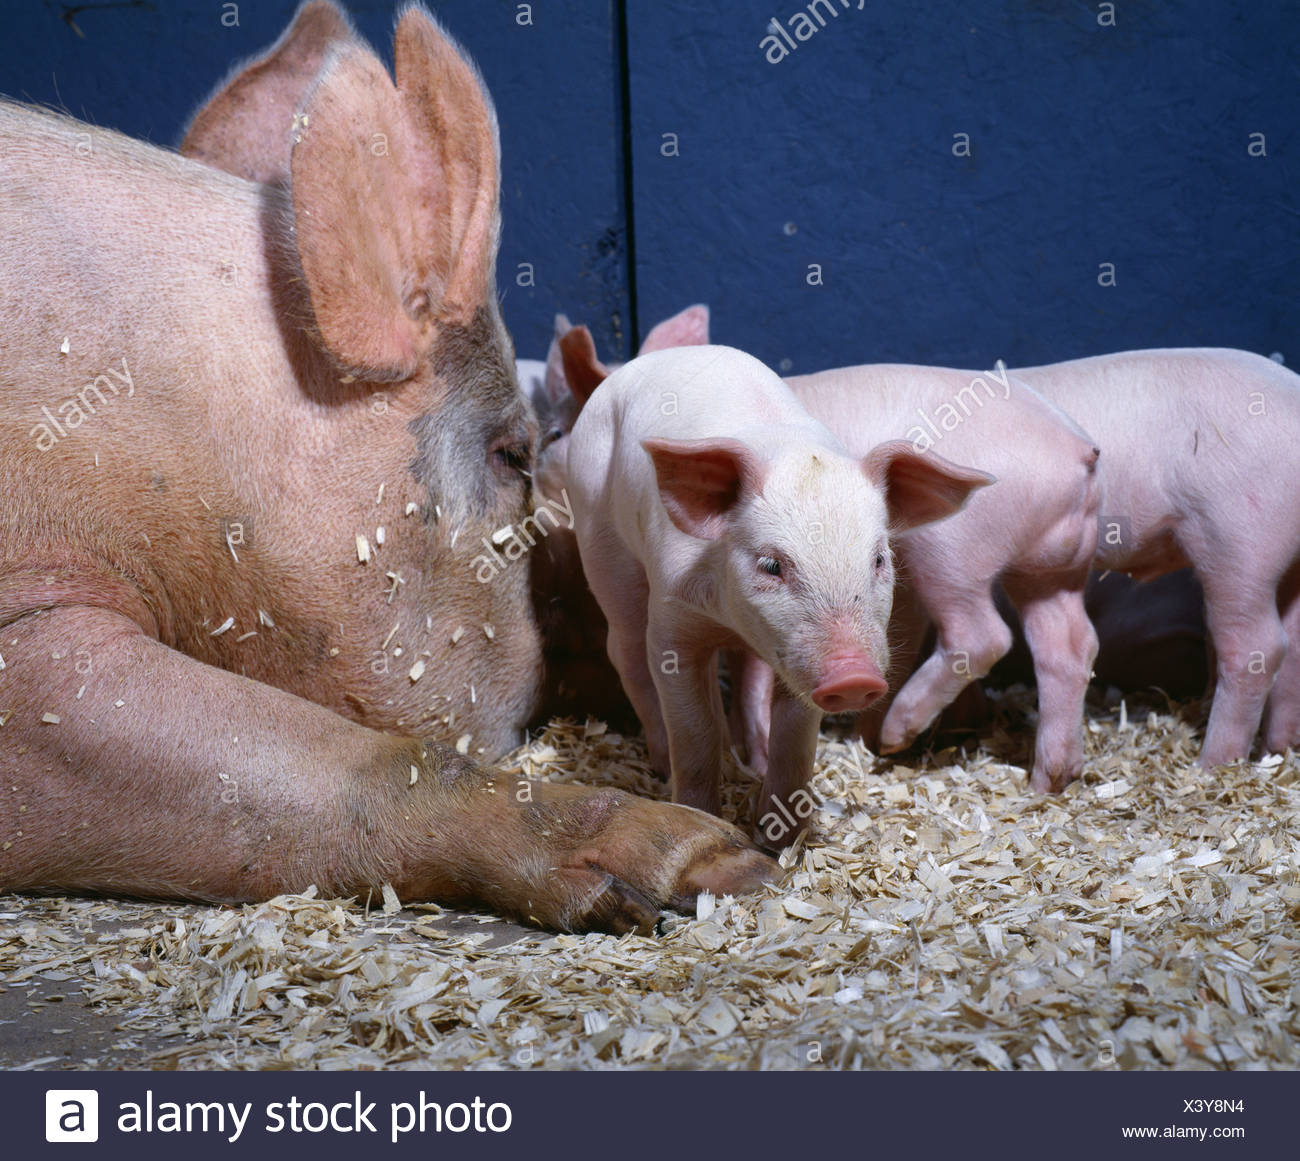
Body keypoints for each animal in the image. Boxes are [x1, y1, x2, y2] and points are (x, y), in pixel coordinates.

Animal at [554, 331, 1104, 795]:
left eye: (878, 558)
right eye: (771, 565)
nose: (854, 677)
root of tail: (1082, 449)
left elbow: (791, 738)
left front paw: (776, 831)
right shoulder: (672, 617)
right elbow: (695, 730)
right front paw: (698, 808)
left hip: (964, 553)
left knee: (1000, 635)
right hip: (602, 540)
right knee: (626, 648)